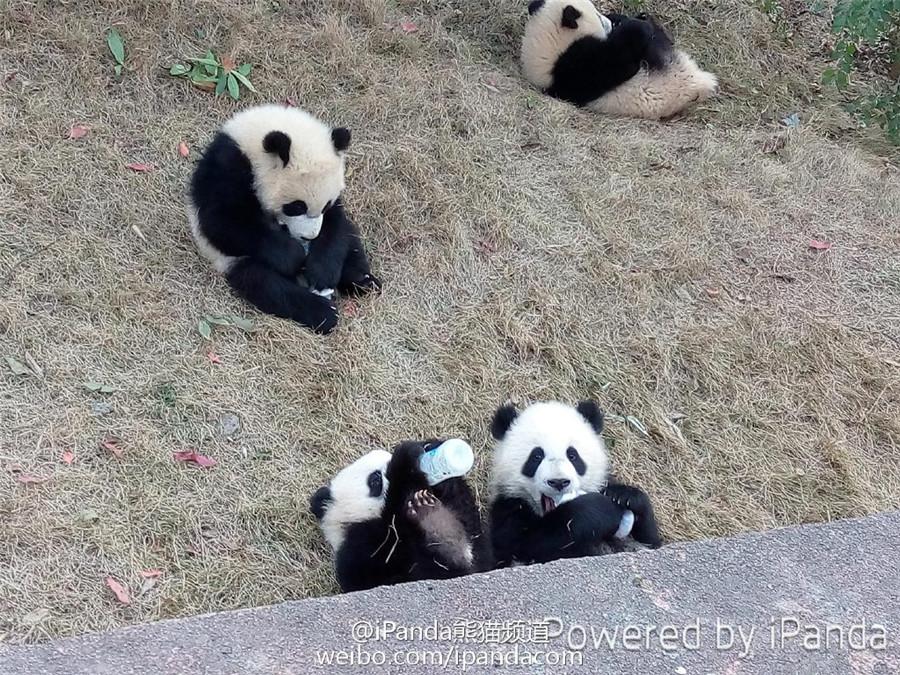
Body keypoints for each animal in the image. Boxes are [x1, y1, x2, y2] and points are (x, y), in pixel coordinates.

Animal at [188, 104, 380, 335]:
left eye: (325, 205)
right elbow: (222, 222)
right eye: (297, 206)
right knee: (267, 285)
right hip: (235, 259)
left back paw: (362, 281)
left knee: (349, 240)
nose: (309, 237)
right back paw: (324, 313)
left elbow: (334, 224)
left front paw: (321, 272)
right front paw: (294, 256)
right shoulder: (227, 166)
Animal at [489, 400, 662, 567]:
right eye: (536, 456)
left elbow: (651, 541)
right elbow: (528, 544)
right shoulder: (508, 509)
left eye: (572, 455)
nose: (559, 482)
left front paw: (624, 496)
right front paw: (601, 508)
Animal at [521, 0, 717, 120]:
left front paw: (621, 18)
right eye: (598, 17)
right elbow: (619, 62)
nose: (609, 22)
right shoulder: (575, 69)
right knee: (657, 44)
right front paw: (634, 26)